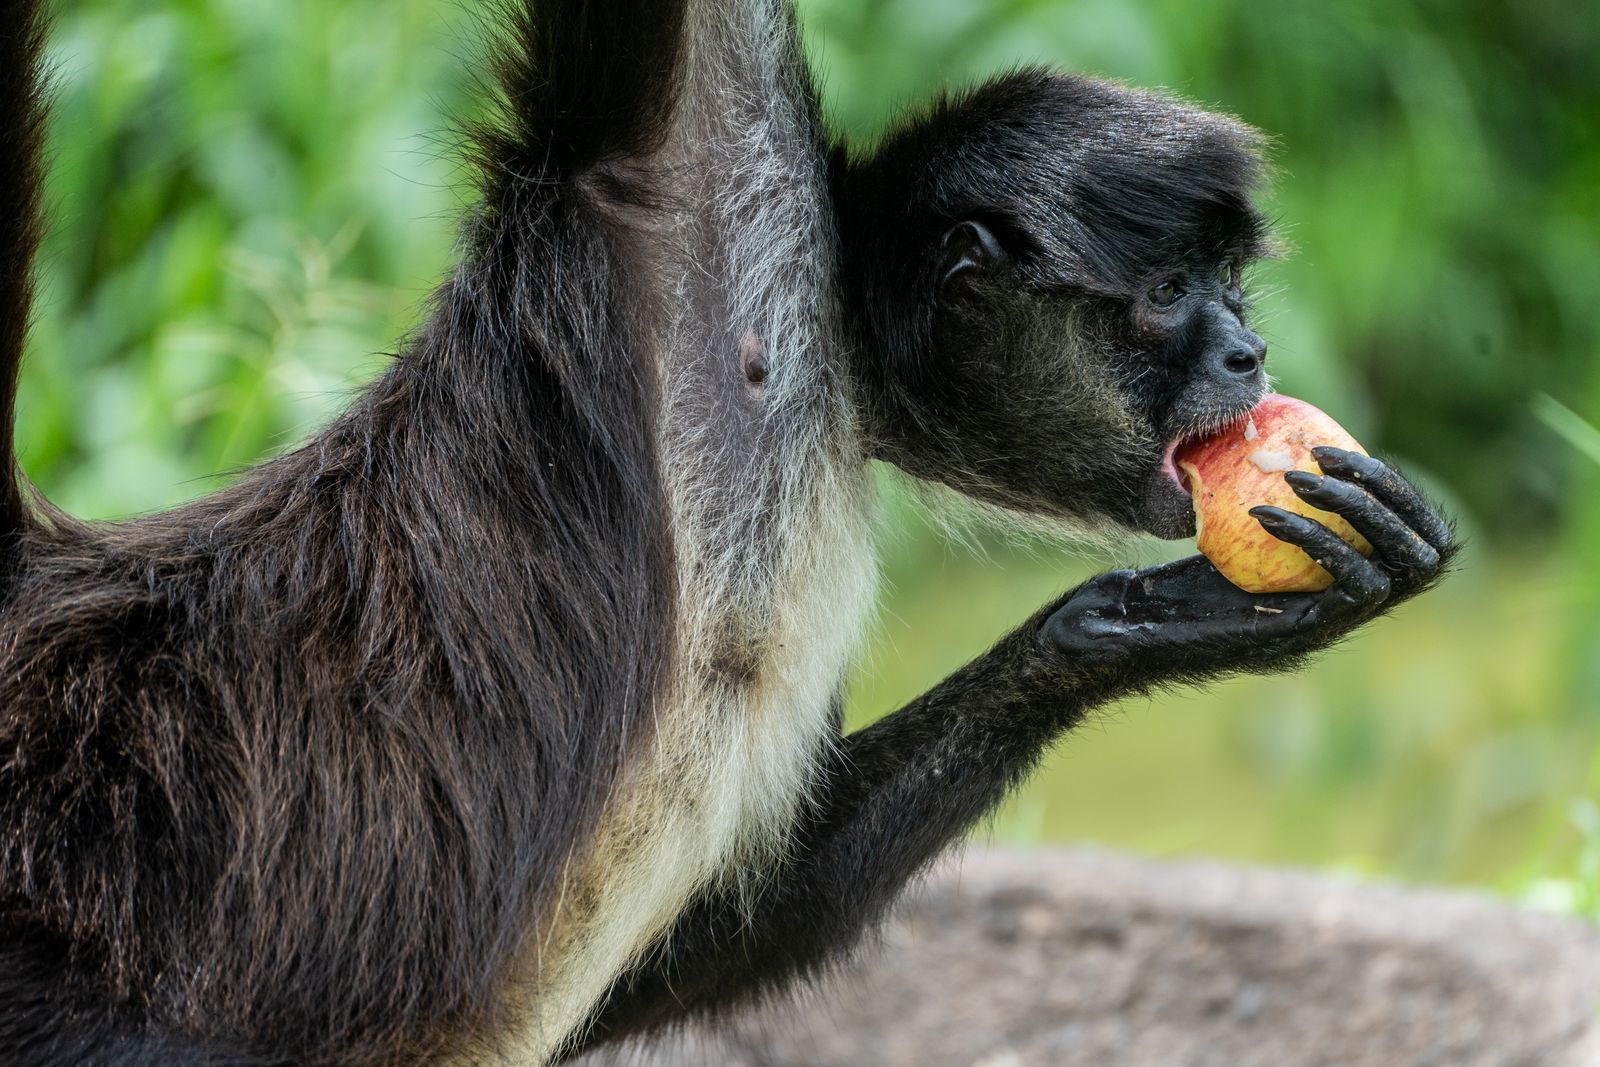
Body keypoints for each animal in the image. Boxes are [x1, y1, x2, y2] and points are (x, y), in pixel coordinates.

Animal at [0, 2, 1452, 1066]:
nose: (1248, 351)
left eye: (1233, 285)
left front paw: (1141, 625)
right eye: (1166, 290)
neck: (822, 374)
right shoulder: (671, 180)